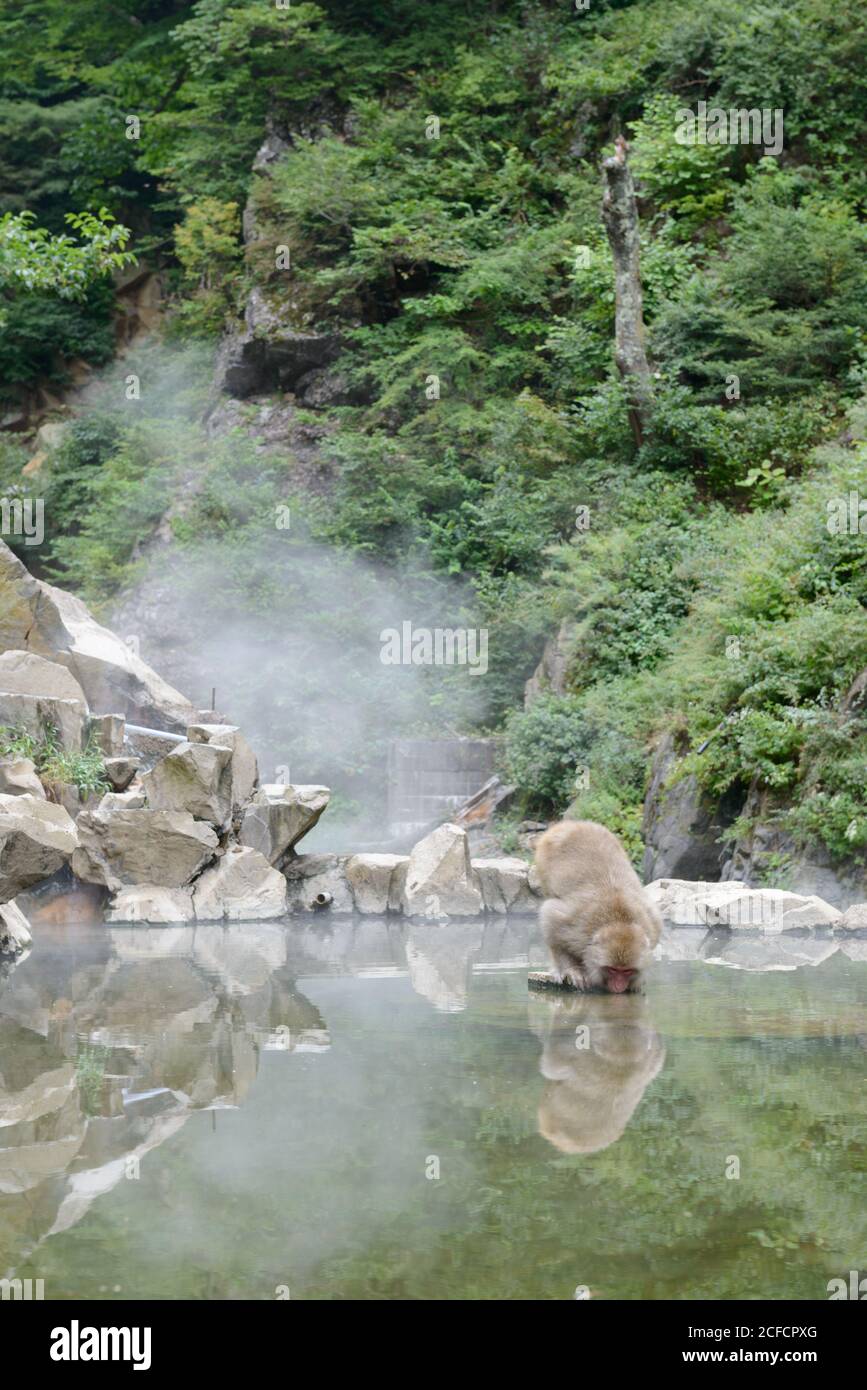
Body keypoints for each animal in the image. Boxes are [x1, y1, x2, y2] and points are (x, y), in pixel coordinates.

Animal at [534, 820, 661, 993]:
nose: (619, 987)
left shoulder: (653, 925)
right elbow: (551, 920)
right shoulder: (575, 925)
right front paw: (571, 970)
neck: (619, 920)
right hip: (543, 862)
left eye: (627, 971)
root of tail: (573, 824)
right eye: (612, 970)